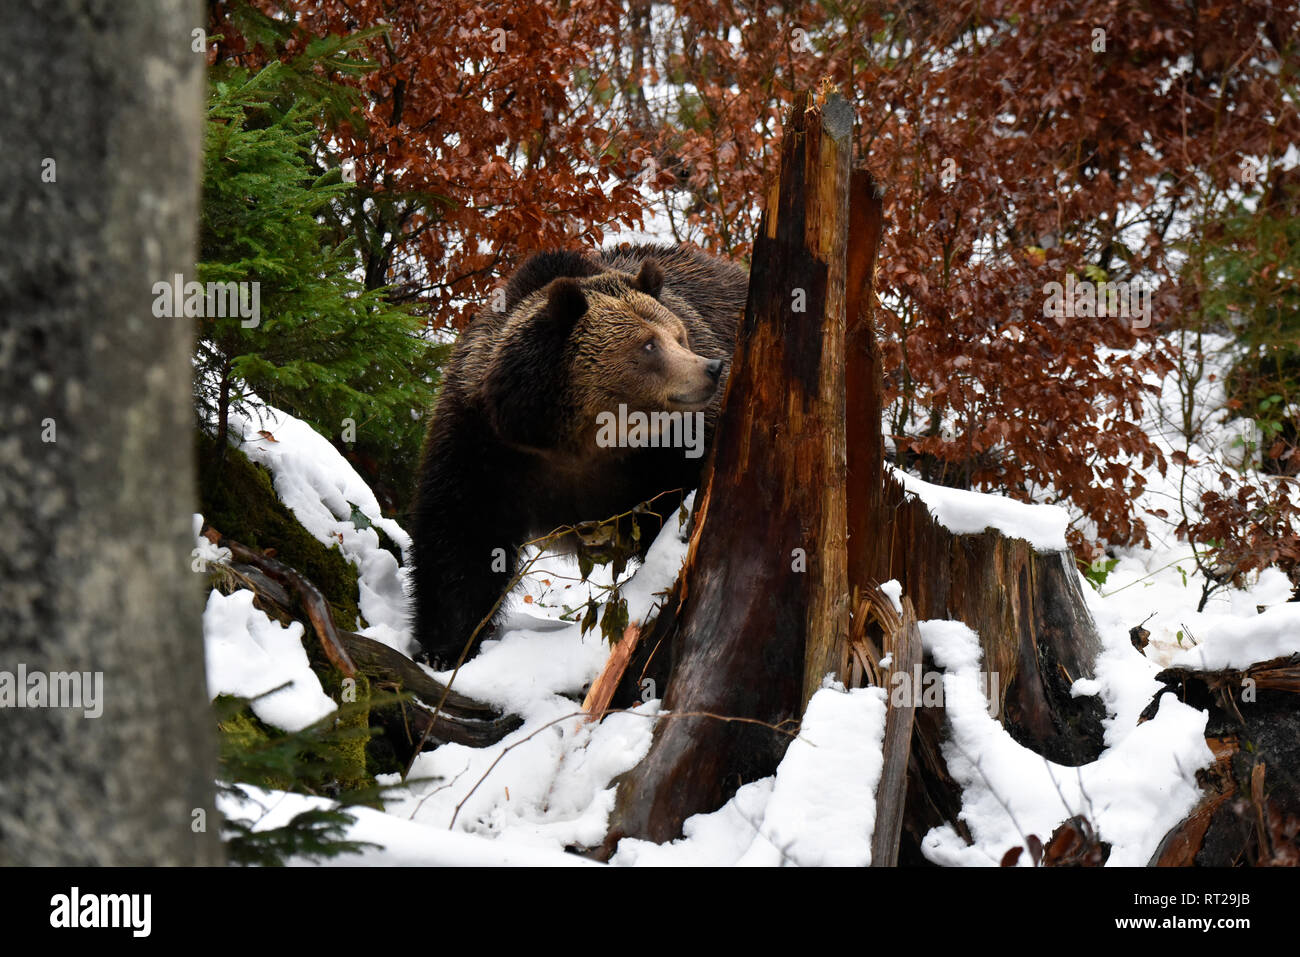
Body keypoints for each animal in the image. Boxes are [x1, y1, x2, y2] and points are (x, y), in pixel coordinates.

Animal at [409, 243, 749, 667]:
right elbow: (461, 535)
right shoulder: (484, 442)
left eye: (680, 336)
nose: (711, 368)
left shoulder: (673, 450)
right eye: (648, 344)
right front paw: (445, 649)